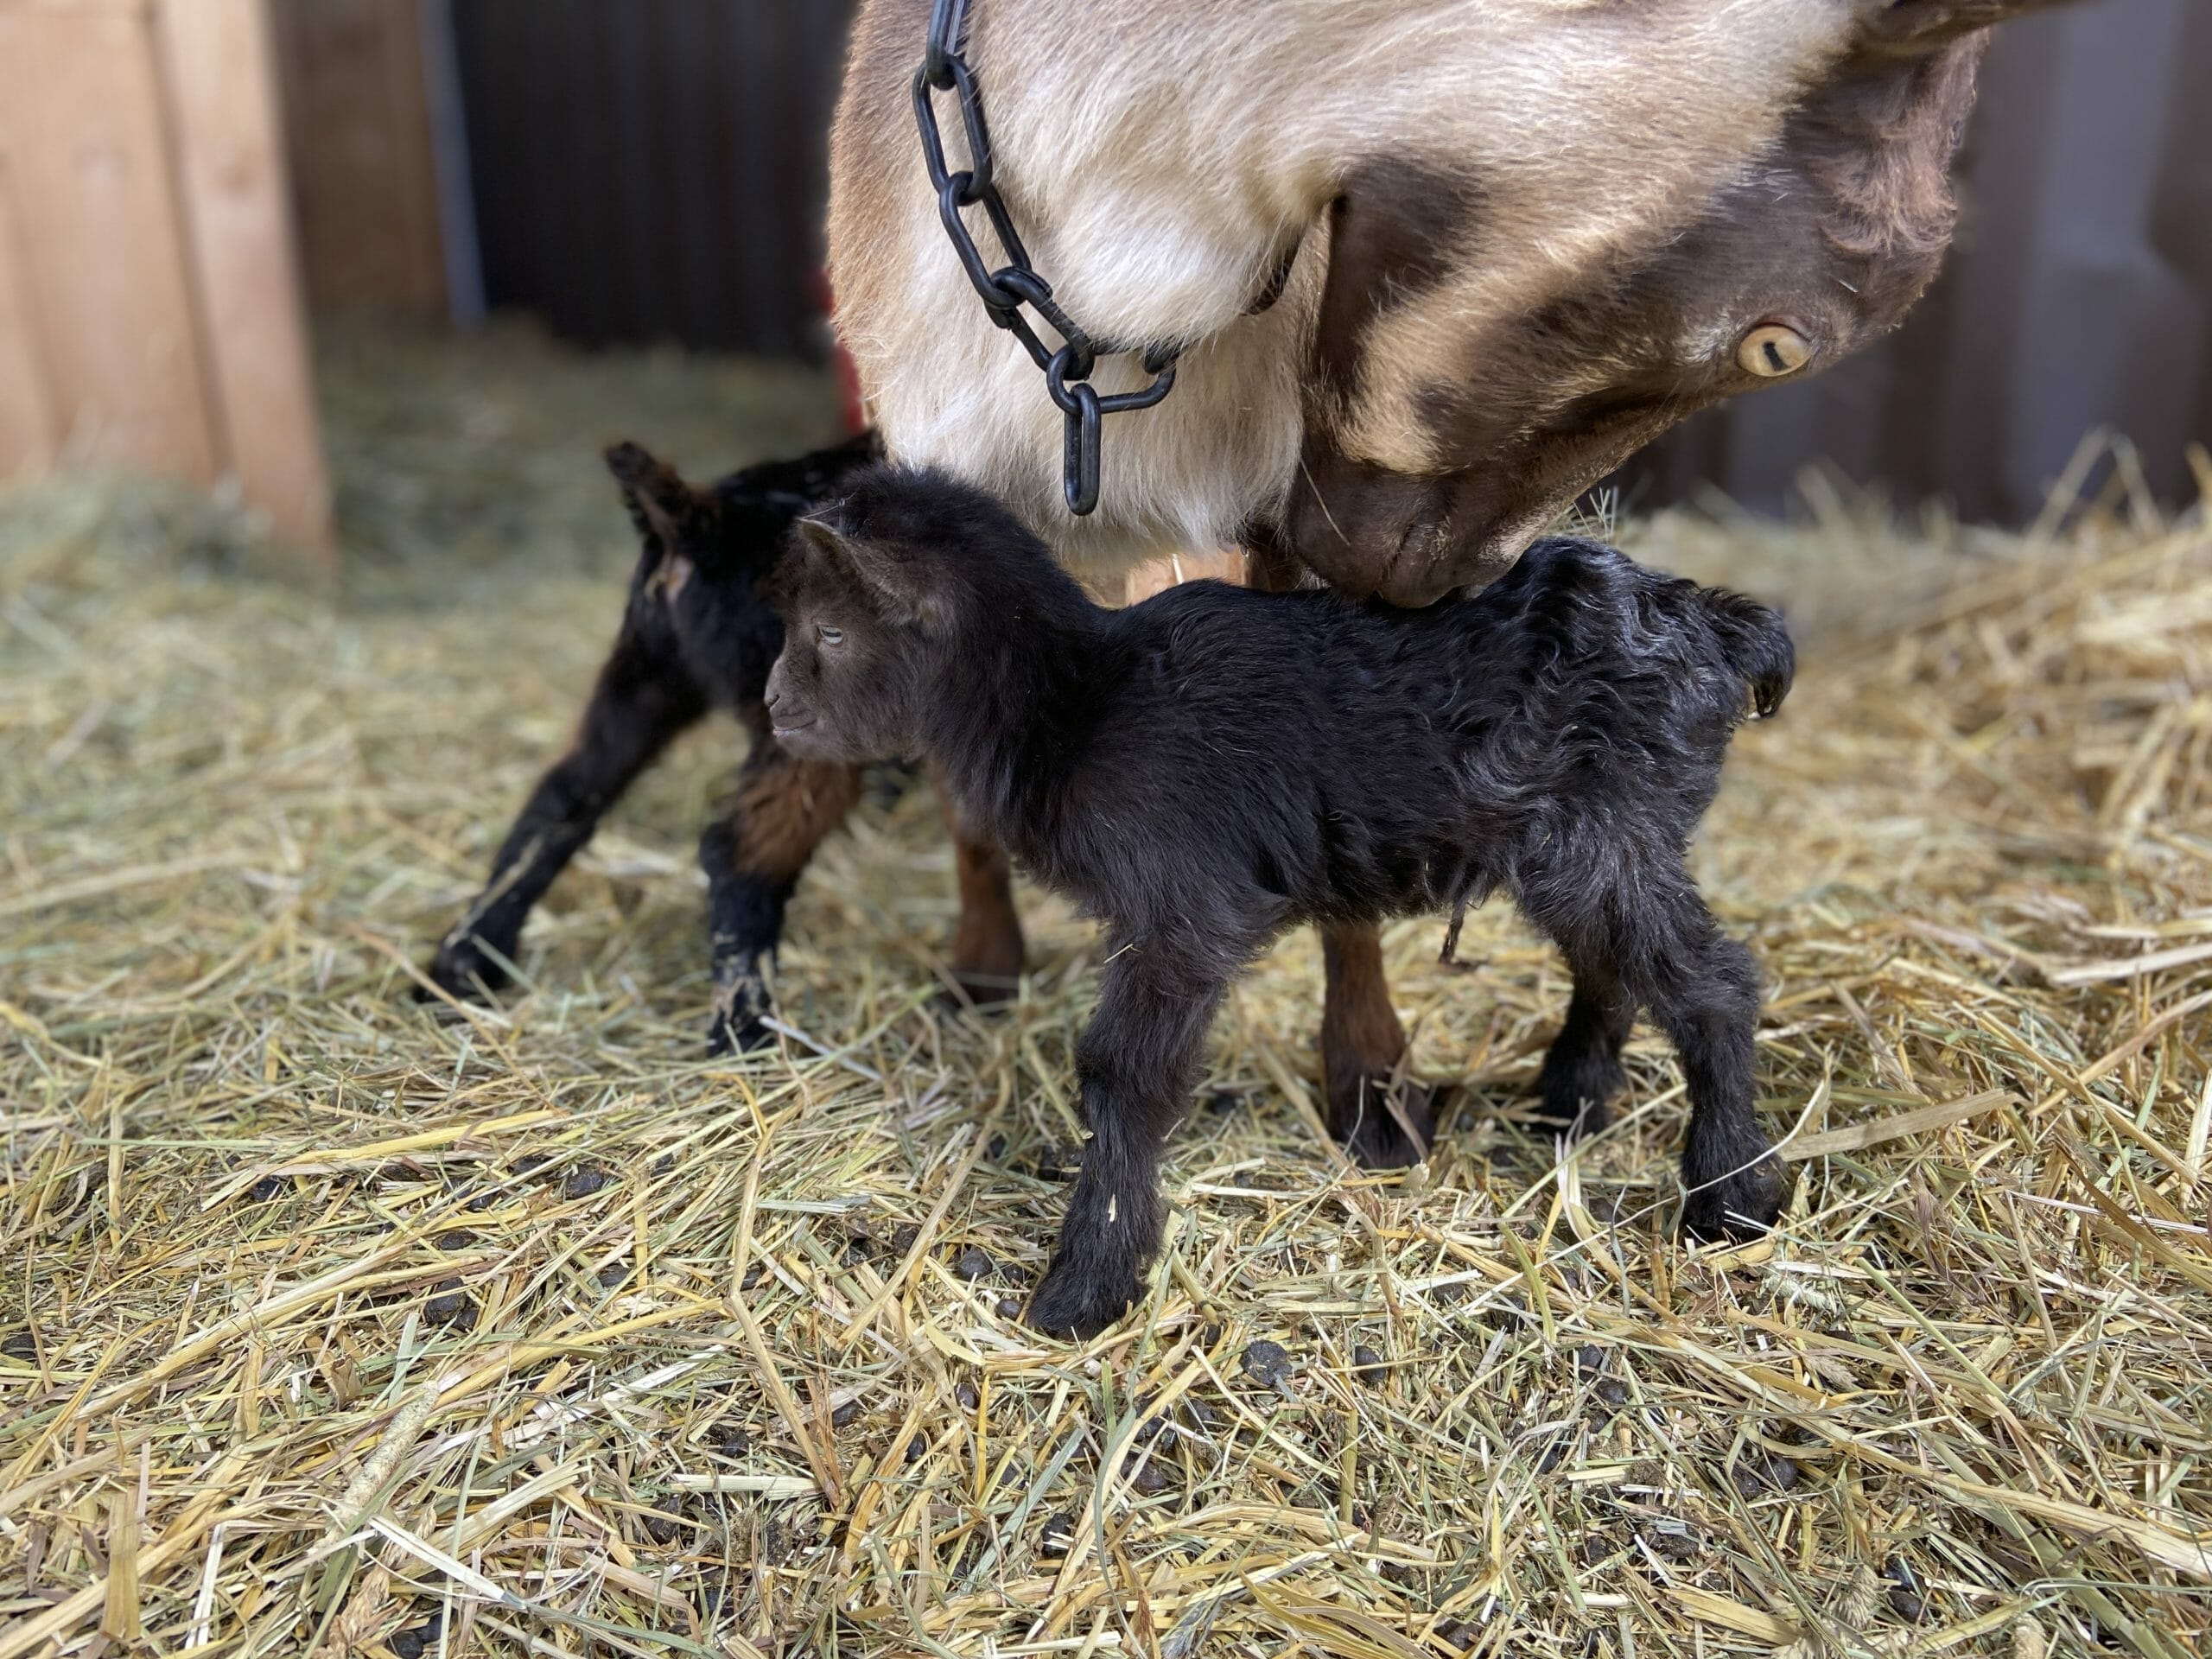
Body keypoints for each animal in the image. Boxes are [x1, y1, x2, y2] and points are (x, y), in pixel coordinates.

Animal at [765, 465, 1796, 1338]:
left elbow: (1121, 1073)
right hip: (1583, 841)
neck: (1077, 702)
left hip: (1608, 827)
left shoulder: (1183, 912)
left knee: (1710, 985)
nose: (775, 707)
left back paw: (1732, 1197)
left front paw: (1086, 1283)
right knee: (1614, 963)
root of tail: (1714, 627)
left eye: (830, 633)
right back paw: (1569, 1104)